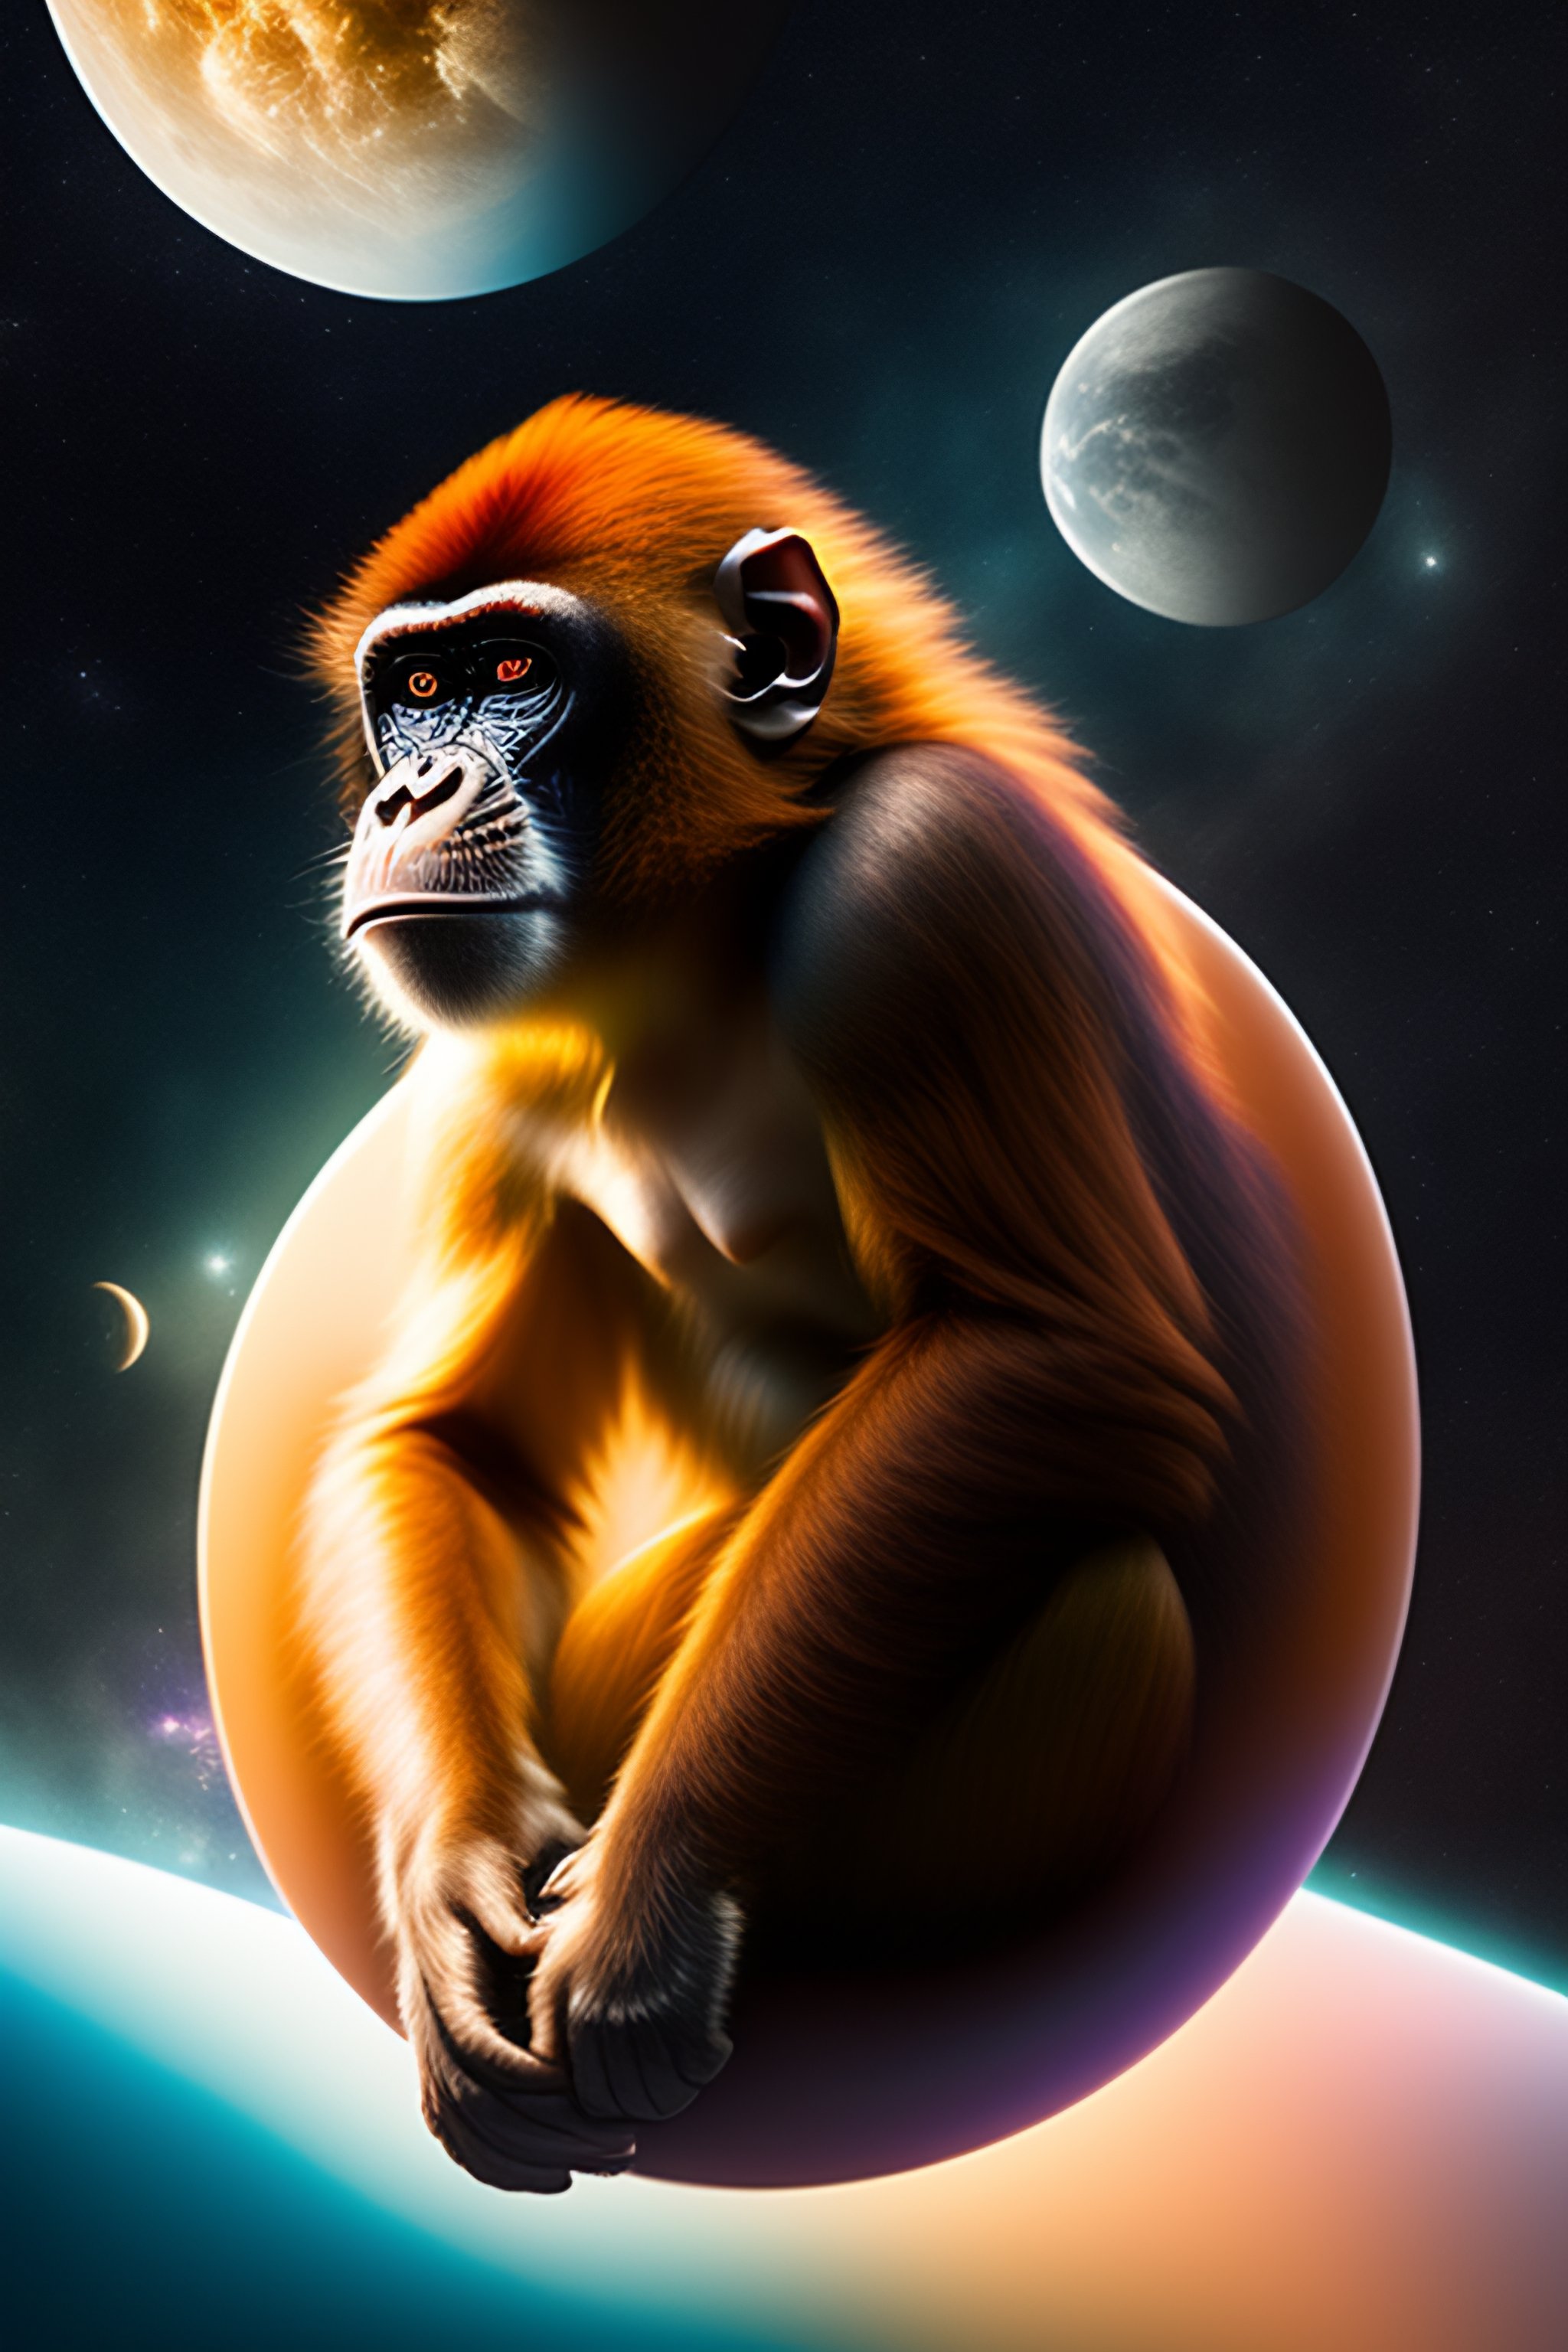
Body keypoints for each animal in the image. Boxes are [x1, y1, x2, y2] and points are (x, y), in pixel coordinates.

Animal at [291, 394, 1303, 2195]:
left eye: (507, 671)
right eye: (410, 686)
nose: (409, 783)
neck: (713, 917)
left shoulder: (931, 877)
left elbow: (1048, 1356)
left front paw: (646, 1906)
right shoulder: (494, 1060)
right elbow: (463, 1441)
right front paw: (452, 1888)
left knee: (1101, 1593)